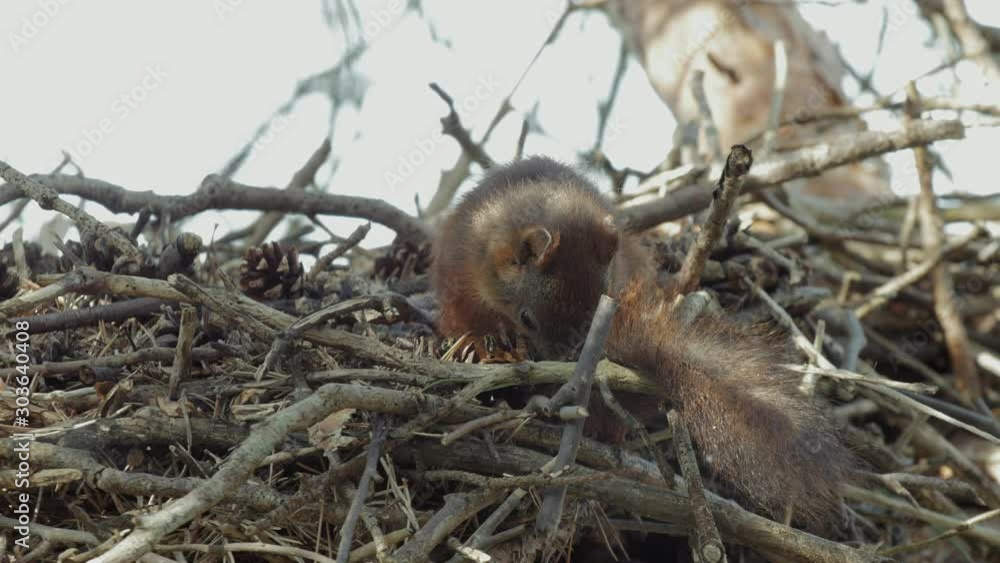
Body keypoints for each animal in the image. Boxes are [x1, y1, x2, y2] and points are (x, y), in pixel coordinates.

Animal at [431, 156, 853, 523]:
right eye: (526, 317)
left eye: (601, 305)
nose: (568, 359)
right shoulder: (460, 273)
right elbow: (467, 318)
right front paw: (485, 338)